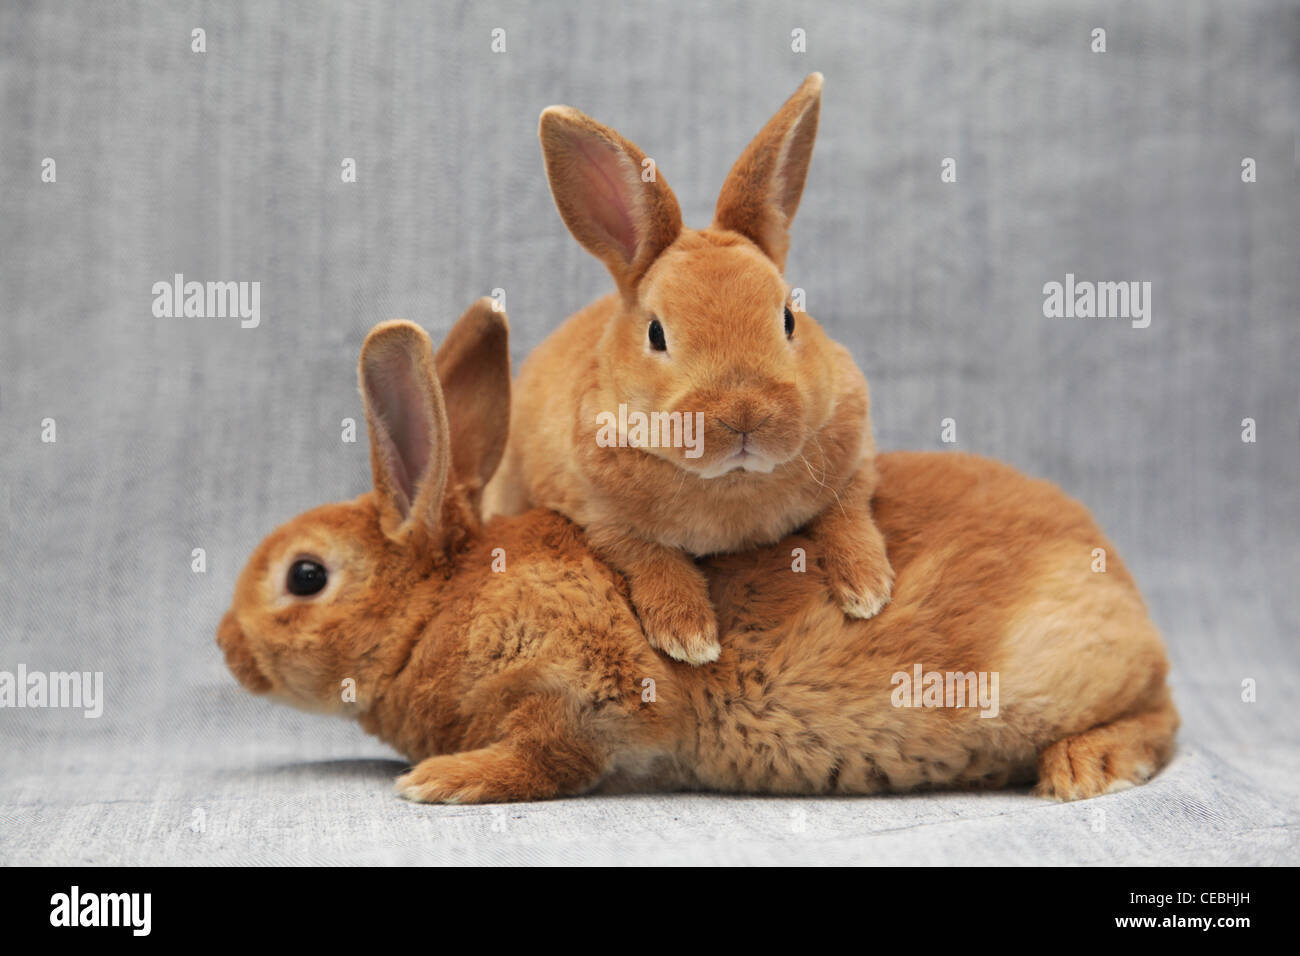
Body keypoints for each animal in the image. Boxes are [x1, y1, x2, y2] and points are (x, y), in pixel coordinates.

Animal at [217, 301, 1179, 804]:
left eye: (305, 575)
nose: (226, 649)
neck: (437, 608)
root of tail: (1118, 582)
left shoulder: (586, 692)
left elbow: (548, 757)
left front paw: (445, 781)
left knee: (1160, 717)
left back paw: (1083, 769)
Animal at [482, 73, 894, 666]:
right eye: (657, 334)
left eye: (789, 318)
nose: (744, 415)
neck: (733, 483)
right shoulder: (599, 516)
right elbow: (651, 559)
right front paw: (689, 638)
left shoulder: (855, 466)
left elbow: (850, 516)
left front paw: (868, 590)